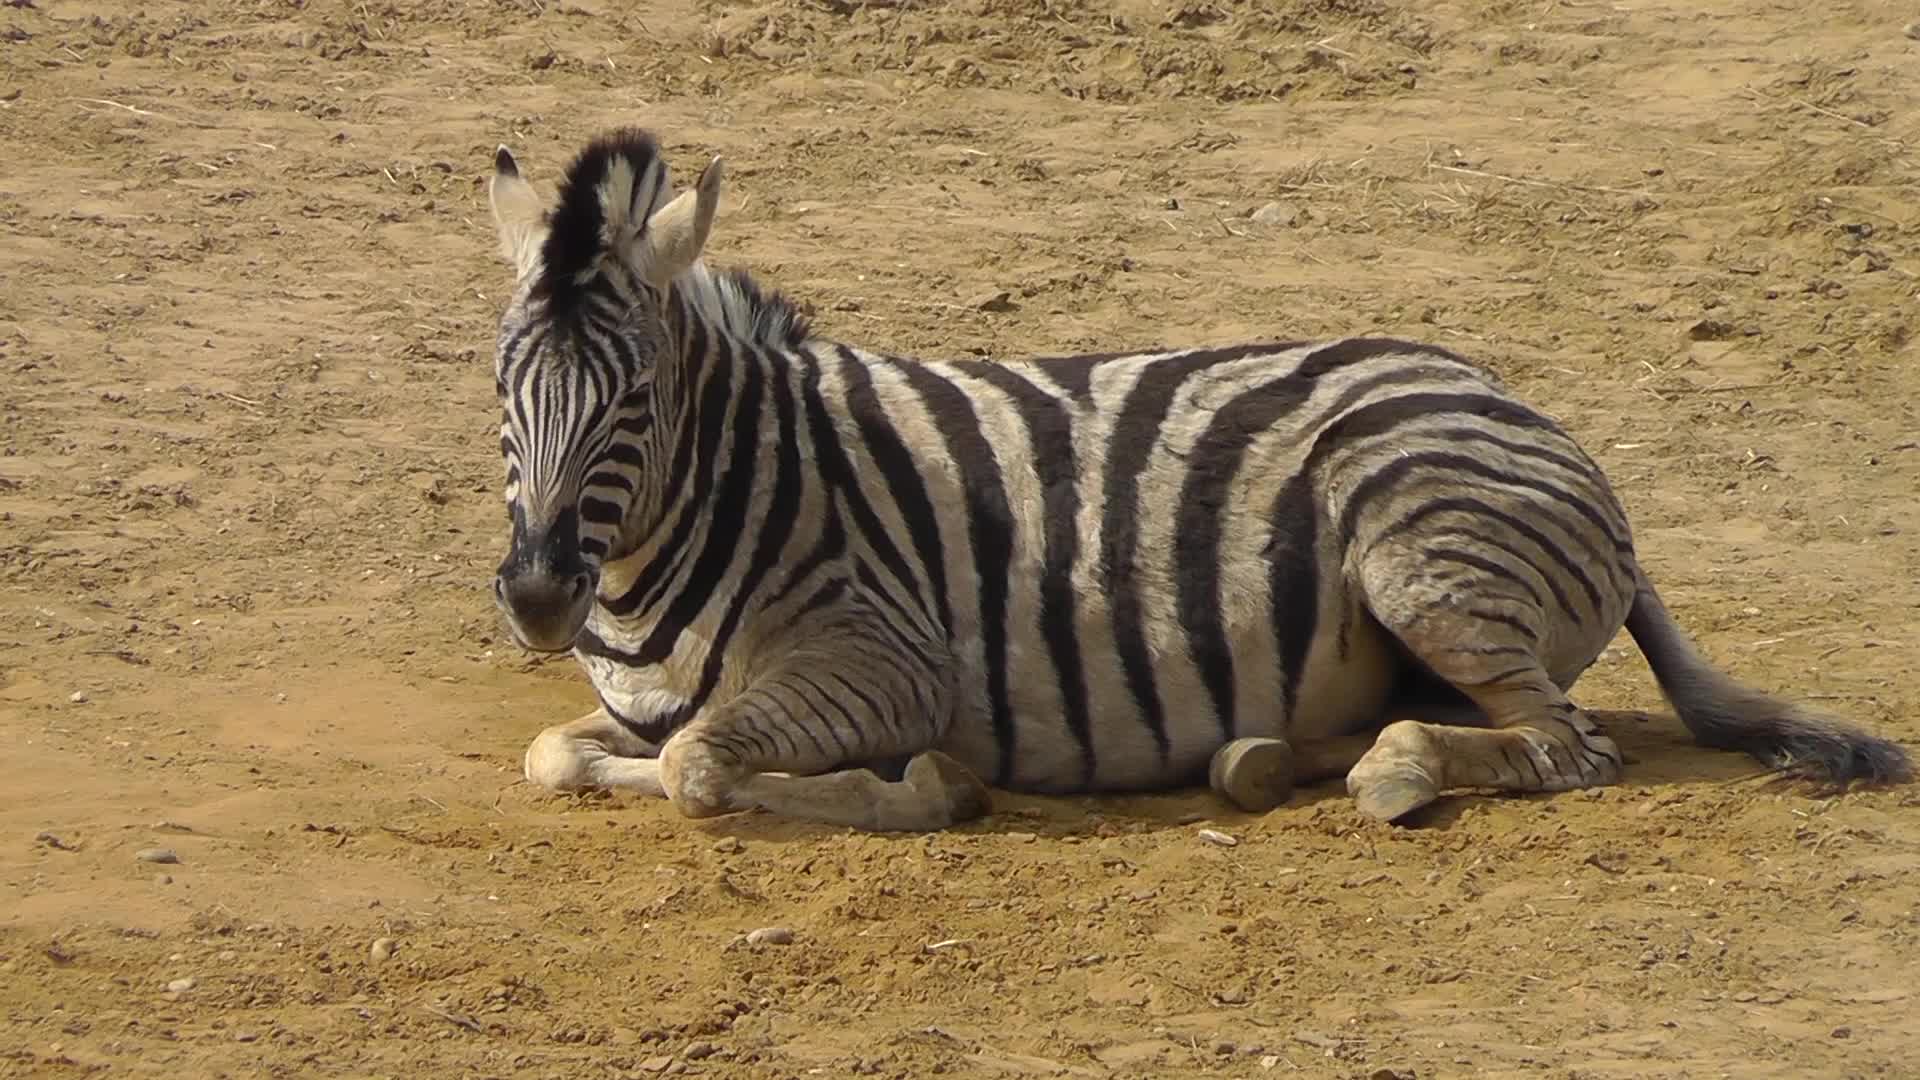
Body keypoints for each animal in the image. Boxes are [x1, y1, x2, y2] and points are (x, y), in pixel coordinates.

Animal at [483, 127, 1909, 832]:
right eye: (501, 392)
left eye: (633, 402)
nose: (539, 599)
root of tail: (1520, 406)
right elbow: (559, 754)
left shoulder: (887, 660)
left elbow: (696, 771)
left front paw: (931, 790)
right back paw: (1268, 762)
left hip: (1422, 548)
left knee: (1568, 747)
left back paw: (1395, 775)